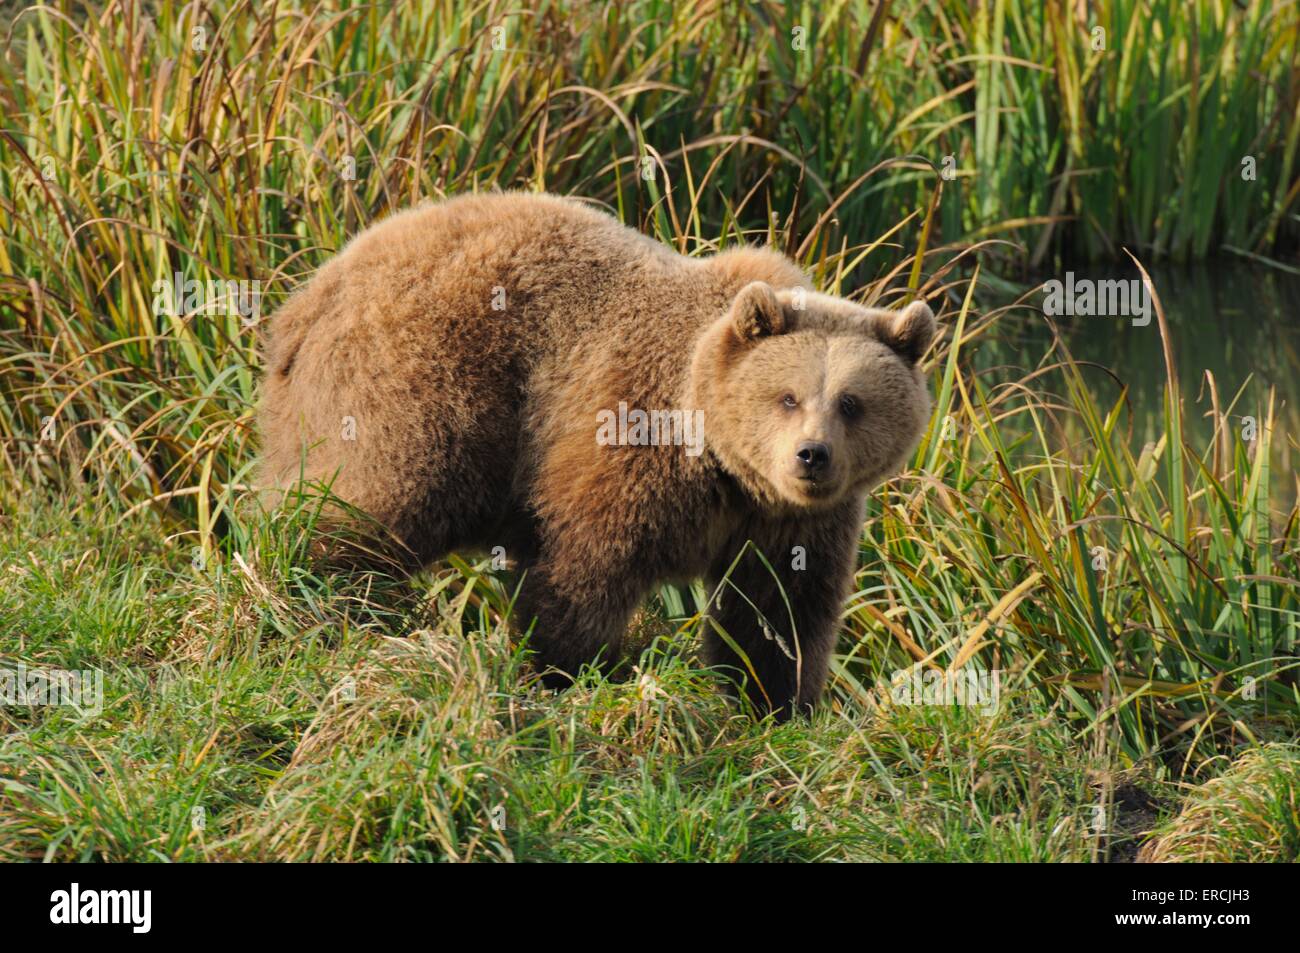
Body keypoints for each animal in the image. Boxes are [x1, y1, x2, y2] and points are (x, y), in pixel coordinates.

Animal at [258, 192, 936, 719]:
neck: (724, 467)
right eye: (788, 397)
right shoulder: (627, 435)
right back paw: (314, 590)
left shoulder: (794, 522)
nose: (811, 457)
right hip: (422, 380)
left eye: (852, 402)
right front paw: (564, 669)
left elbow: (780, 610)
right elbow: (585, 566)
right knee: (375, 500)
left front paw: (775, 701)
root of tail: (310, 292)